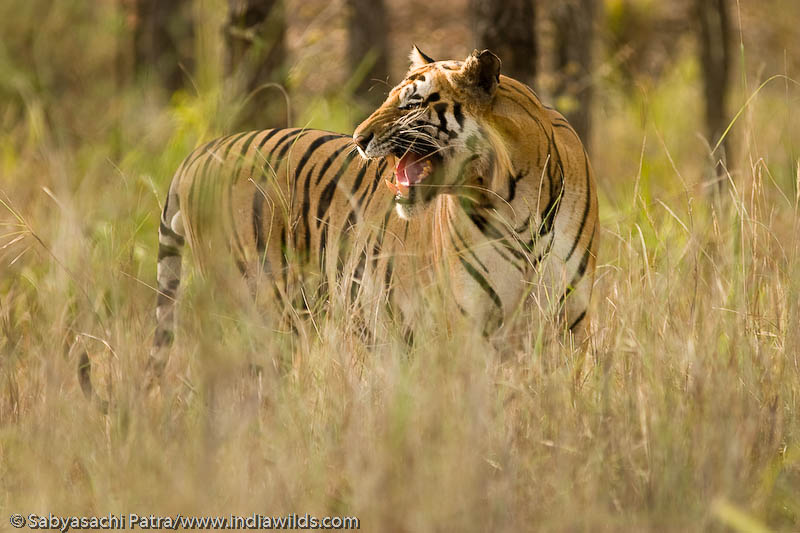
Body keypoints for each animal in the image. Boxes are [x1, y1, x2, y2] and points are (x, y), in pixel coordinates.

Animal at [140, 46, 599, 379]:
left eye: (411, 105)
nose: (359, 139)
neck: (513, 198)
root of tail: (199, 153)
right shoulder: (470, 322)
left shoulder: (573, 318)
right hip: (258, 304)